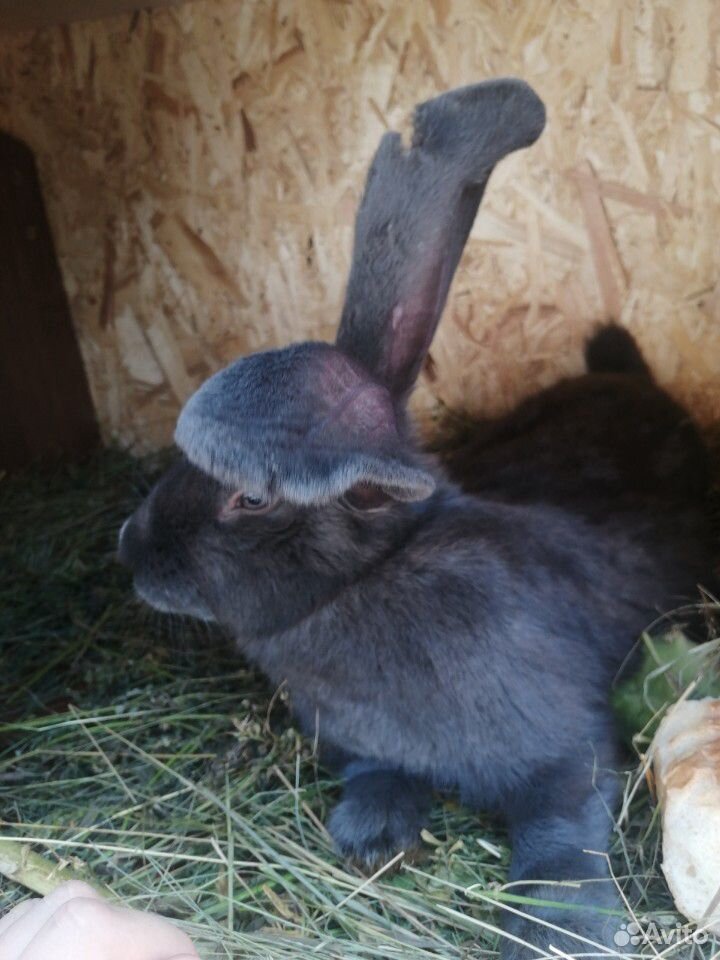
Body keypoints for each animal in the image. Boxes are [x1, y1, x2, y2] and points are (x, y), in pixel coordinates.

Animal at [118, 79, 714, 959]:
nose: (131, 546)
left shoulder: (566, 750)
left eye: (250, 496)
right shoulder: (363, 747)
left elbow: (561, 833)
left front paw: (560, 932)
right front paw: (371, 836)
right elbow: (378, 774)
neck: (372, 577)